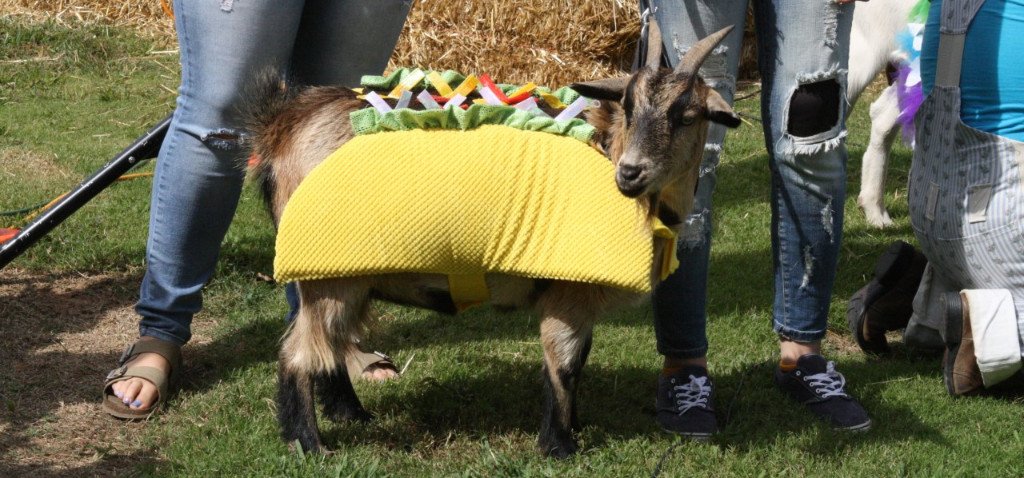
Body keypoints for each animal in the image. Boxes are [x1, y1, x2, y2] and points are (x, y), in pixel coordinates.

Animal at [245, 23, 740, 458]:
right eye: (630, 107)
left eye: (687, 116)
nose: (631, 173)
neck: (608, 146)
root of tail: (282, 125)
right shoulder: (568, 293)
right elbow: (563, 365)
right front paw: (559, 445)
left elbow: (579, 362)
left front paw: (575, 427)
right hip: (330, 274)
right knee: (297, 352)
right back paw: (309, 443)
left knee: (328, 344)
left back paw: (350, 414)